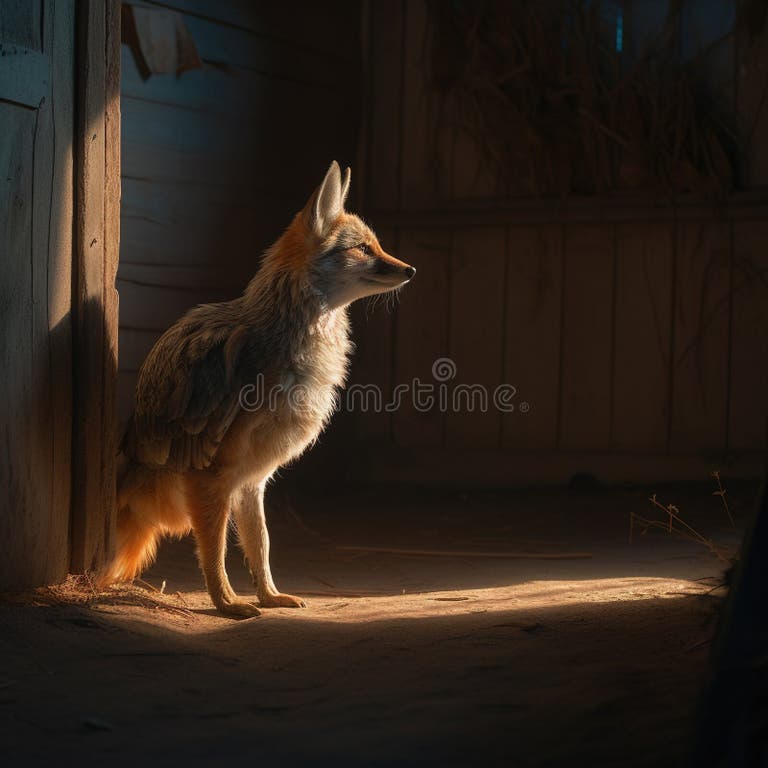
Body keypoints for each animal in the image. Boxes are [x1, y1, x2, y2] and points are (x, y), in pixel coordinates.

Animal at [100, 161, 415, 617]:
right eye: (364, 249)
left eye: (377, 245)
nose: (411, 270)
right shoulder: (212, 477)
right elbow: (213, 551)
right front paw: (227, 604)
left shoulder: (253, 479)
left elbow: (260, 545)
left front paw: (269, 596)